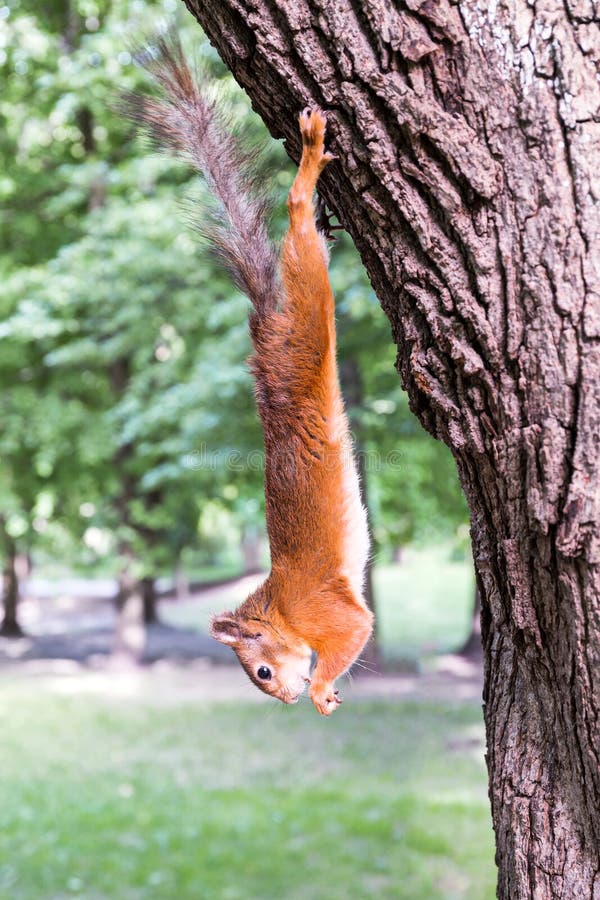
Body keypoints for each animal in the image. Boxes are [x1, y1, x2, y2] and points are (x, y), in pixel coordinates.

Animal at [134, 37, 373, 715]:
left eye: (261, 672)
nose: (285, 701)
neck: (282, 612)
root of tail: (268, 323)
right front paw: (323, 693)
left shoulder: (328, 612)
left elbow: (357, 629)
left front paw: (320, 689)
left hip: (308, 314)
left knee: (297, 224)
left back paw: (311, 161)